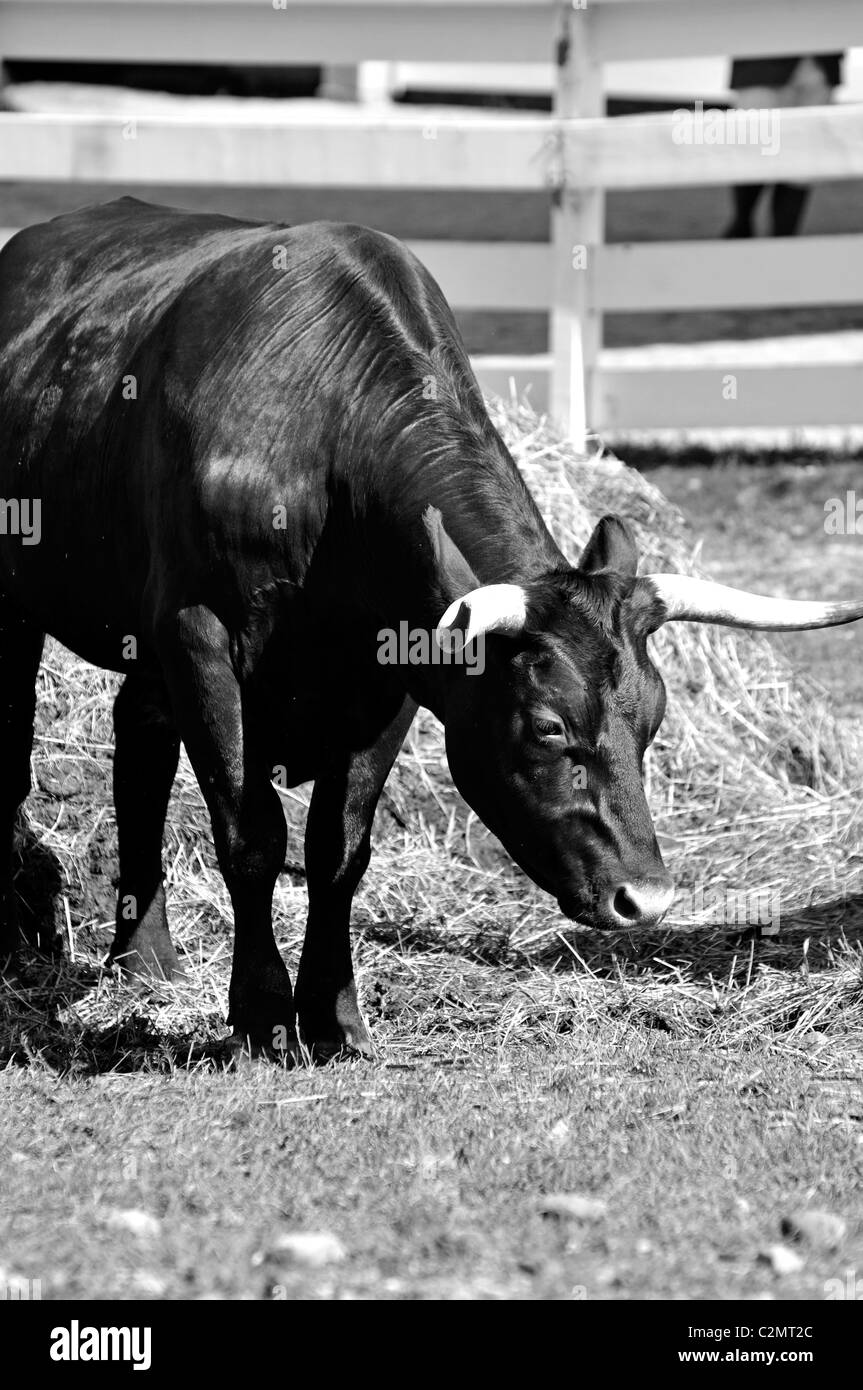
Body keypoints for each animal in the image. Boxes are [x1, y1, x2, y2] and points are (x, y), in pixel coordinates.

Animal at [1, 197, 861, 1061]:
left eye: (652, 722)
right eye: (547, 727)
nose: (644, 900)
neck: (323, 456)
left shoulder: (391, 676)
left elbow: (339, 847)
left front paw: (335, 1016)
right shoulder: (199, 637)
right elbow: (252, 834)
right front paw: (263, 1016)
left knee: (139, 738)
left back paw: (143, 960)